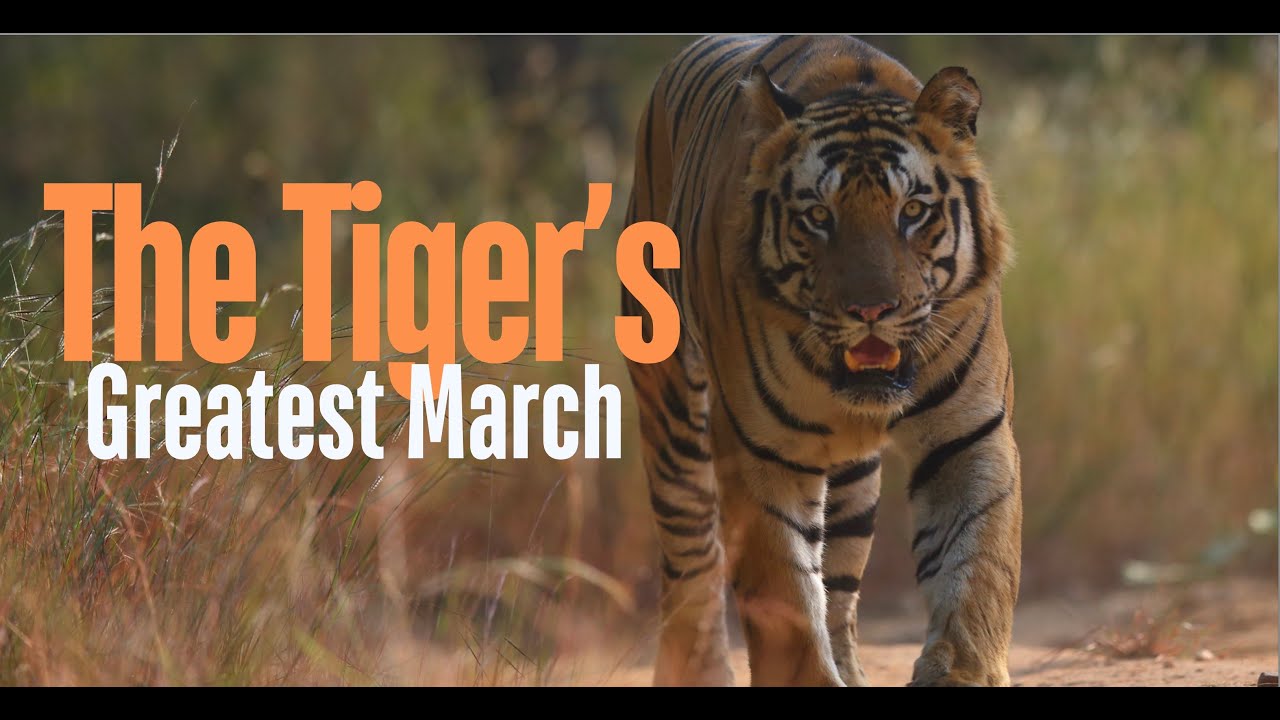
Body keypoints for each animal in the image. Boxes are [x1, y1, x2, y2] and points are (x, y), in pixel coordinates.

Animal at [621, 35, 1021, 687]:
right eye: (817, 217)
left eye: (912, 211)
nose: (872, 309)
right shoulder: (761, 453)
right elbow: (786, 600)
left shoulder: (969, 432)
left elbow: (977, 567)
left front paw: (962, 671)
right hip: (672, 407)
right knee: (691, 556)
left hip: (852, 487)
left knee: (837, 587)